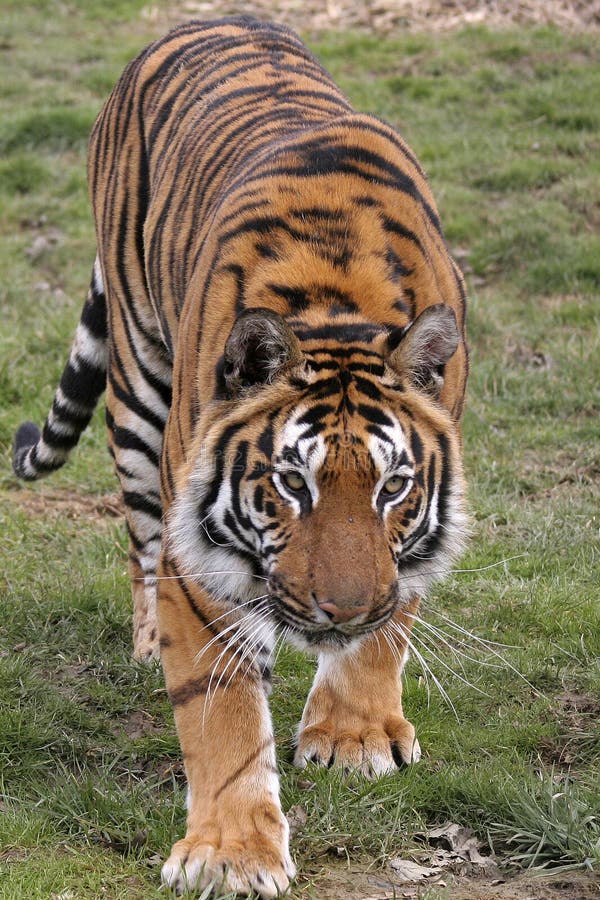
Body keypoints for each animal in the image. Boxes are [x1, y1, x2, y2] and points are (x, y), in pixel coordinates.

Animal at [13, 16, 469, 897]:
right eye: (291, 483)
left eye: (394, 488)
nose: (341, 613)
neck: (338, 309)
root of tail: (207, 18)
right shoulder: (201, 554)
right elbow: (222, 709)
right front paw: (231, 853)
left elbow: (393, 621)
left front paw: (356, 735)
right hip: (137, 395)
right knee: (139, 542)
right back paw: (146, 641)